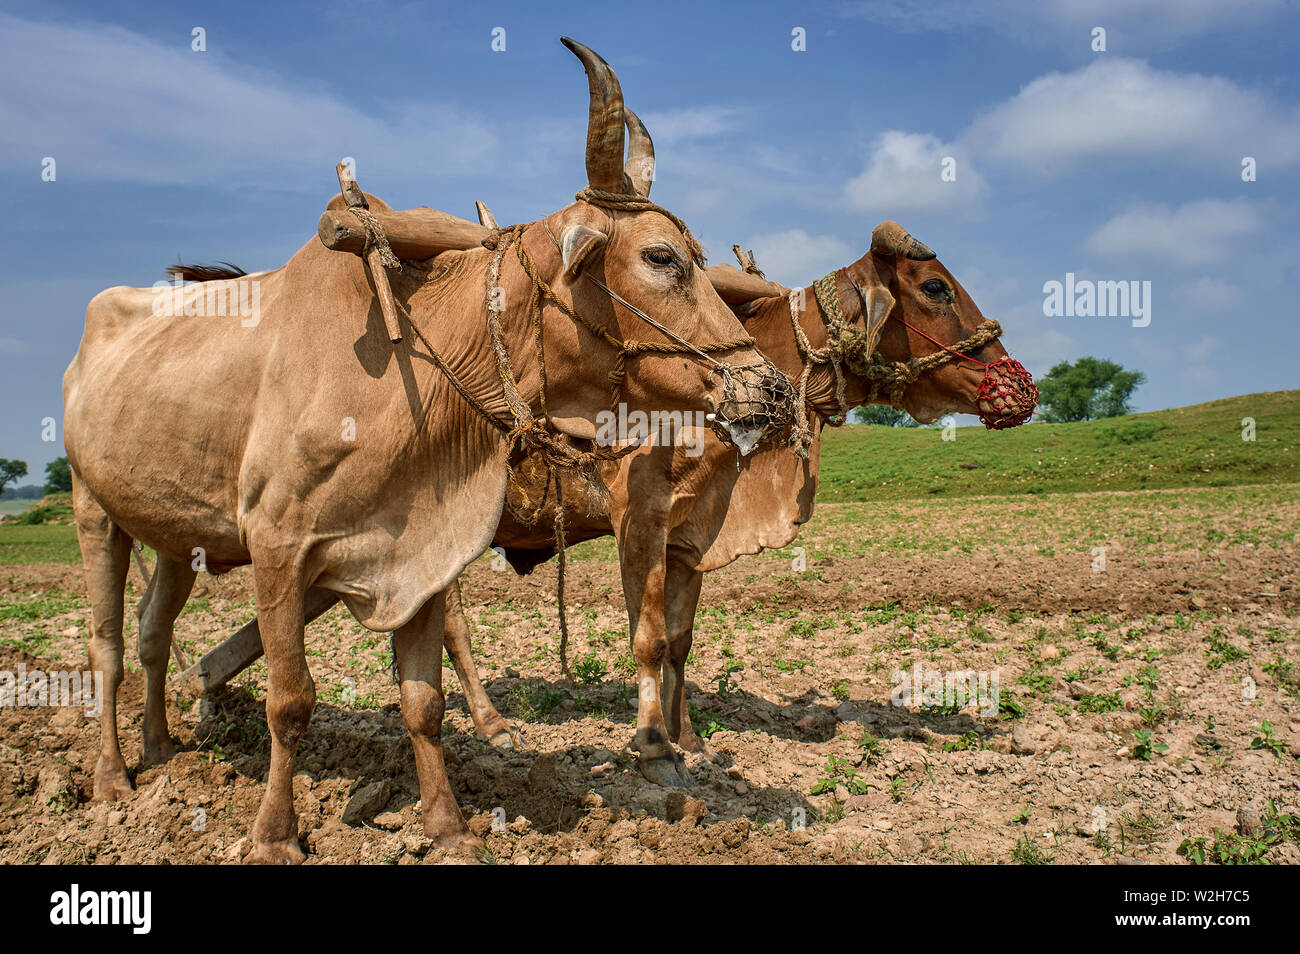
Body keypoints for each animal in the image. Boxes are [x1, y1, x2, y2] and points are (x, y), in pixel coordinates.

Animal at [61, 38, 790, 862]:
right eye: (662, 257)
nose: (770, 389)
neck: (413, 375)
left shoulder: (427, 554)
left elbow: (423, 703)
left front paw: (447, 826)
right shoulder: (277, 547)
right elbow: (290, 702)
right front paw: (275, 833)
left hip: (172, 533)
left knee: (152, 634)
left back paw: (160, 751)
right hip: (93, 510)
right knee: (107, 648)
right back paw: (115, 781)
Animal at [439, 200, 1039, 785]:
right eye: (935, 287)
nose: (1021, 384)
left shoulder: (688, 539)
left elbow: (679, 641)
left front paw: (689, 740)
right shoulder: (640, 522)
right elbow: (649, 638)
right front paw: (654, 748)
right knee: (452, 623)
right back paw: (493, 726)